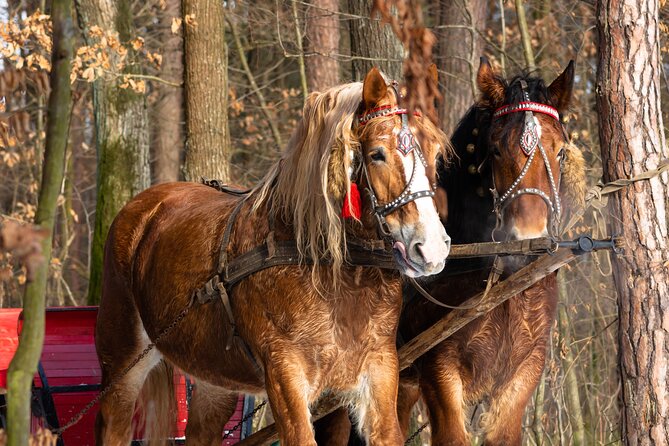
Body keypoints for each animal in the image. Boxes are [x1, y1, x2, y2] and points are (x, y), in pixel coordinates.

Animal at [93, 67, 452, 446]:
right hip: (122, 361)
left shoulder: (379, 371)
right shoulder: (284, 375)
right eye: (378, 154)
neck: (332, 275)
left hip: (215, 380)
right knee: (113, 424)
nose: (431, 247)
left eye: (435, 153)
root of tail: (143, 207)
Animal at [315, 59, 586, 445]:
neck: (500, 286)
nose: (527, 239)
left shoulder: (523, 372)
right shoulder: (440, 368)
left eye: (560, 151)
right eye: (496, 150)